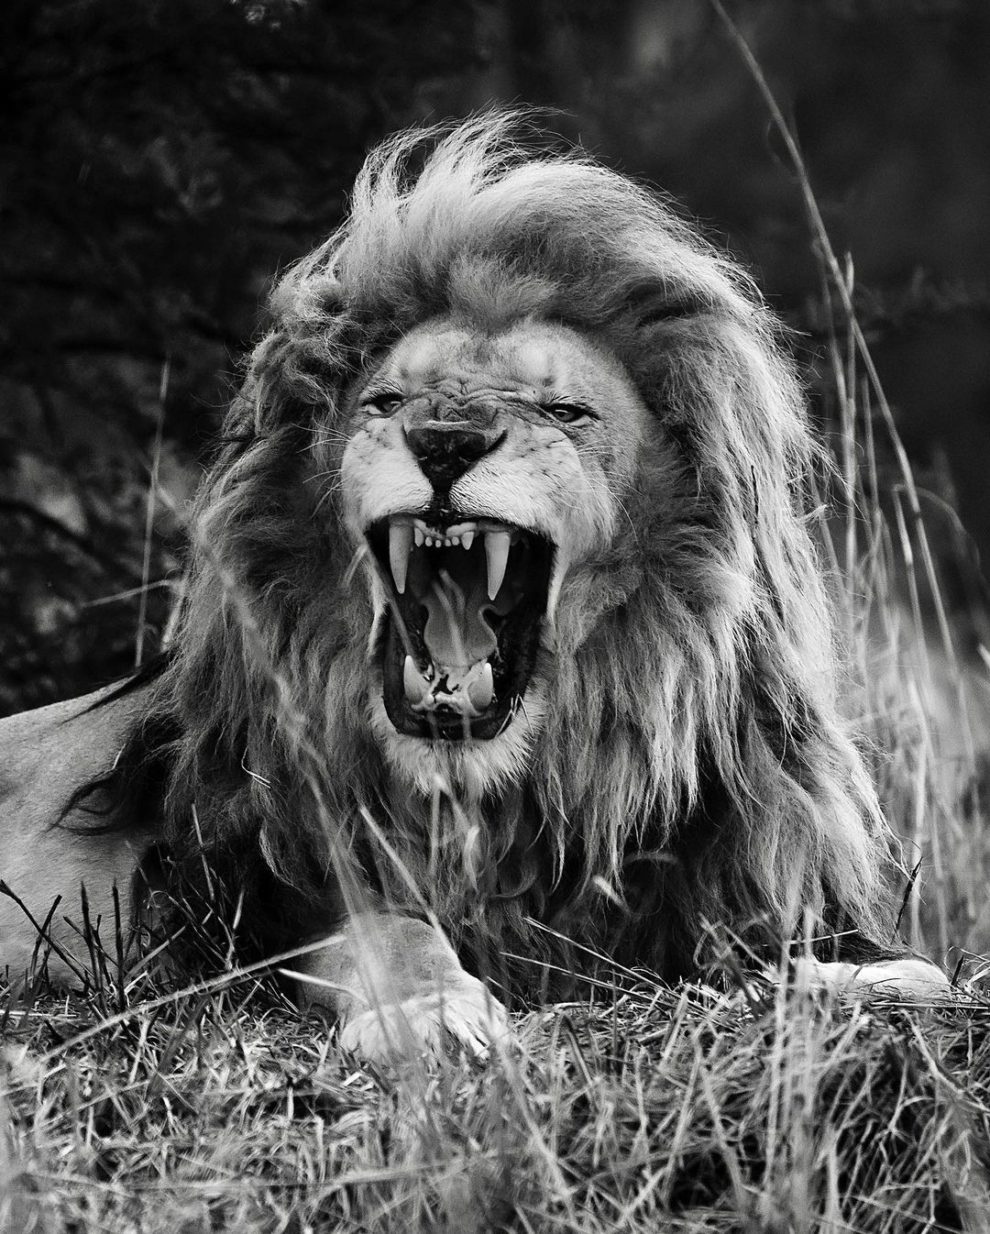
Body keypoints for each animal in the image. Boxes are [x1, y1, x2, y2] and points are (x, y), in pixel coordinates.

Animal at [0, 115, 948, 1059]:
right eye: (386, 402)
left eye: (564, 412)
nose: (447, 438)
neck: (495, 798)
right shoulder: (268, 897)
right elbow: (392, 932)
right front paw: (431, 1013)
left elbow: (784, 952)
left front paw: (862, 976)